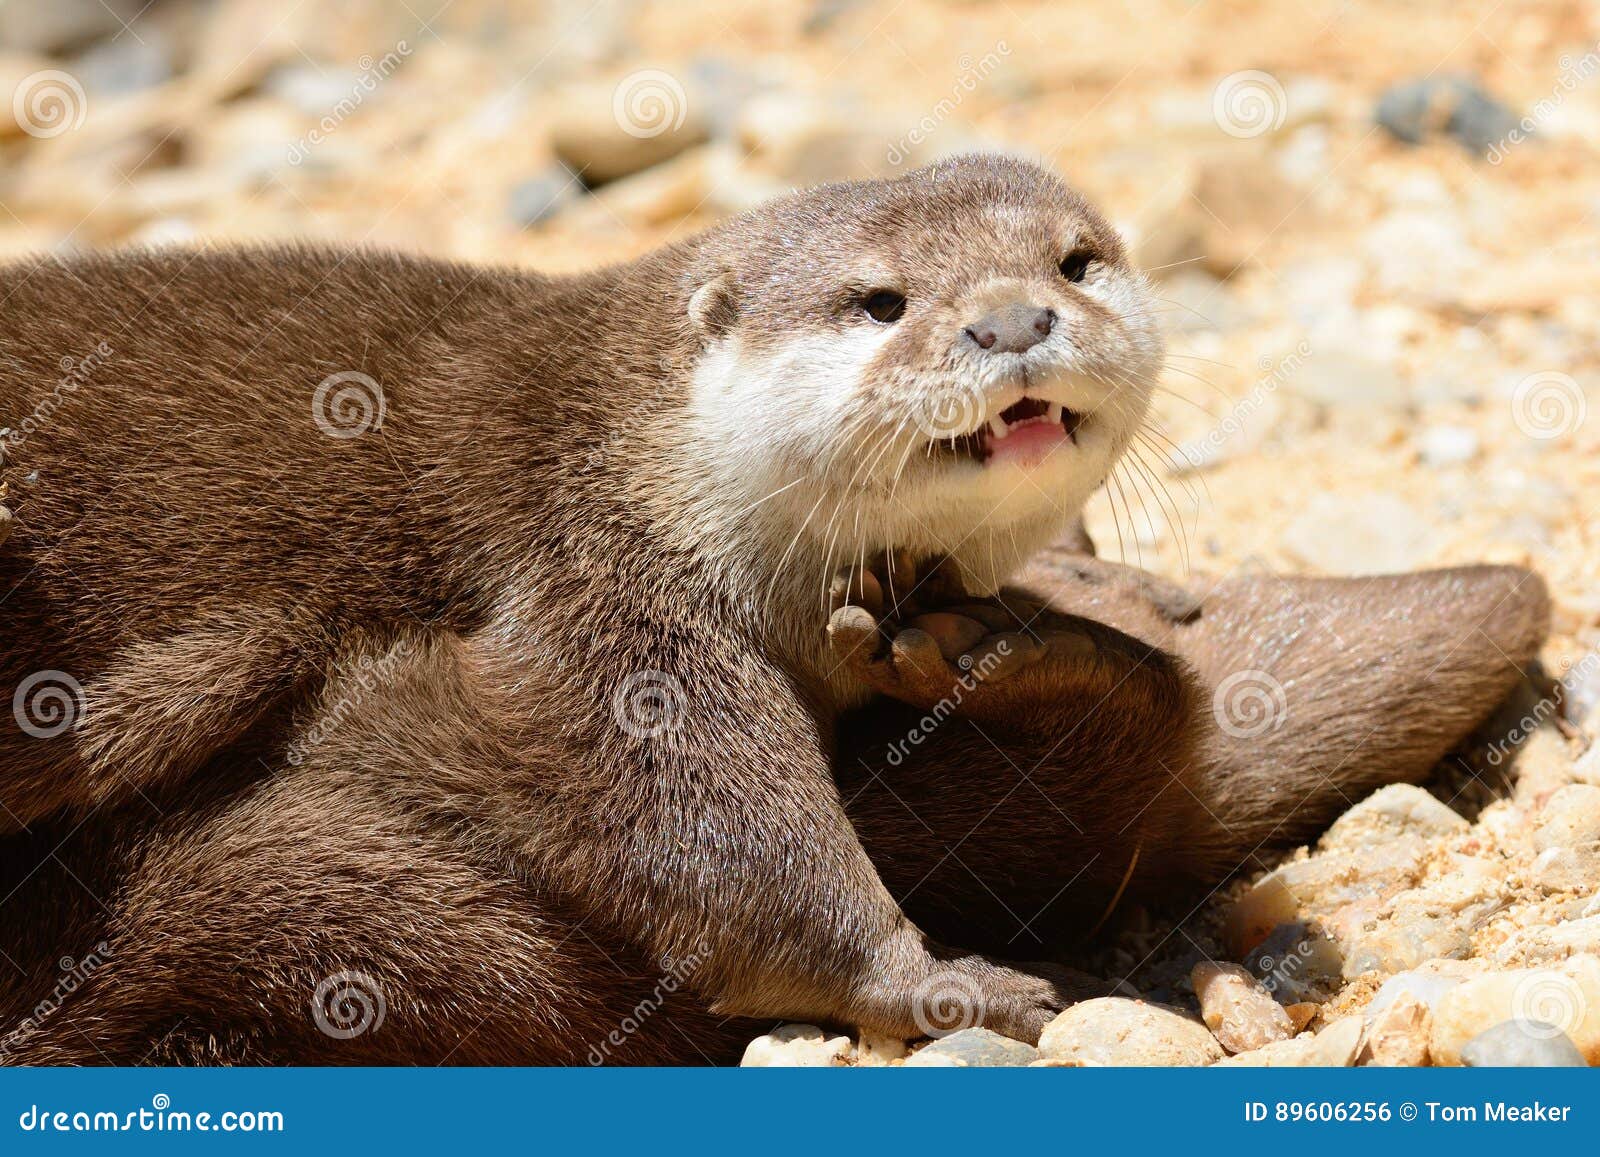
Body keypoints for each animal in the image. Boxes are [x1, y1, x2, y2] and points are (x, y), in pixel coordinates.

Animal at [0, 156, 1548, 1063]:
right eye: (880, 302)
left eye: (1073, 259)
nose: (1009, 321)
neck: (630, 451)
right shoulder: (597, 597)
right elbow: (709, 834)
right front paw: (937, 984)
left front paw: (1044, 599)